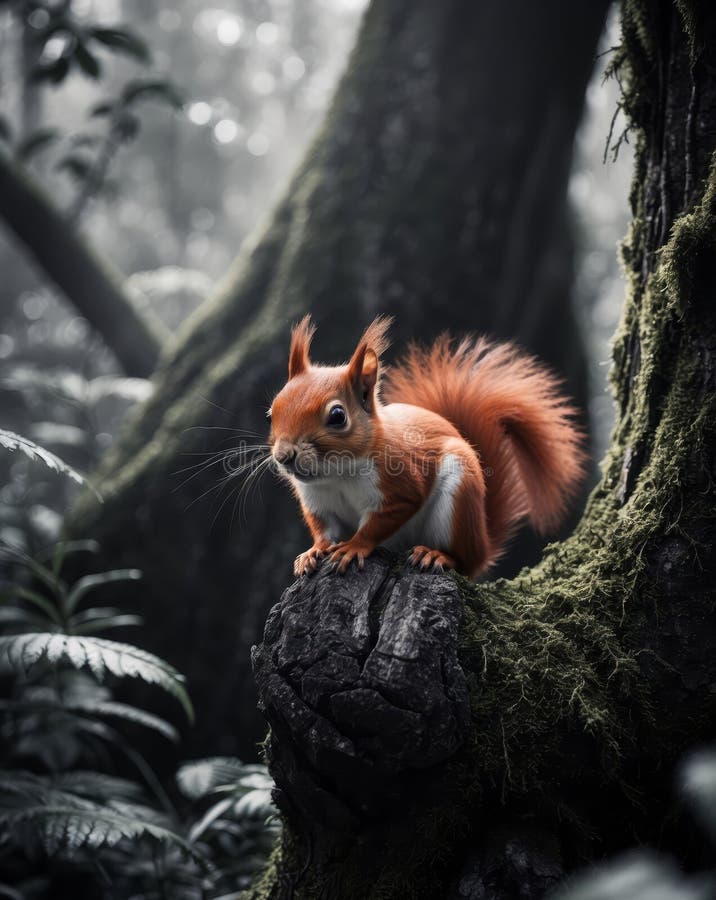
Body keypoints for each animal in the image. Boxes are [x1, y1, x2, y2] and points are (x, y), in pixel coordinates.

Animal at [267, 315, 586, 578]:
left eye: (337, 416)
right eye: (272, 412)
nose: (284, 456)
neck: (337, 474)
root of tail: (482, 542)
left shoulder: (400, 486)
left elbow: (381, 521)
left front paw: (353, 547)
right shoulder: (317, 503)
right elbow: (324, 528)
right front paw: (313, 551)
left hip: (458, 501)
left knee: (464, 562)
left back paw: (436, 556)